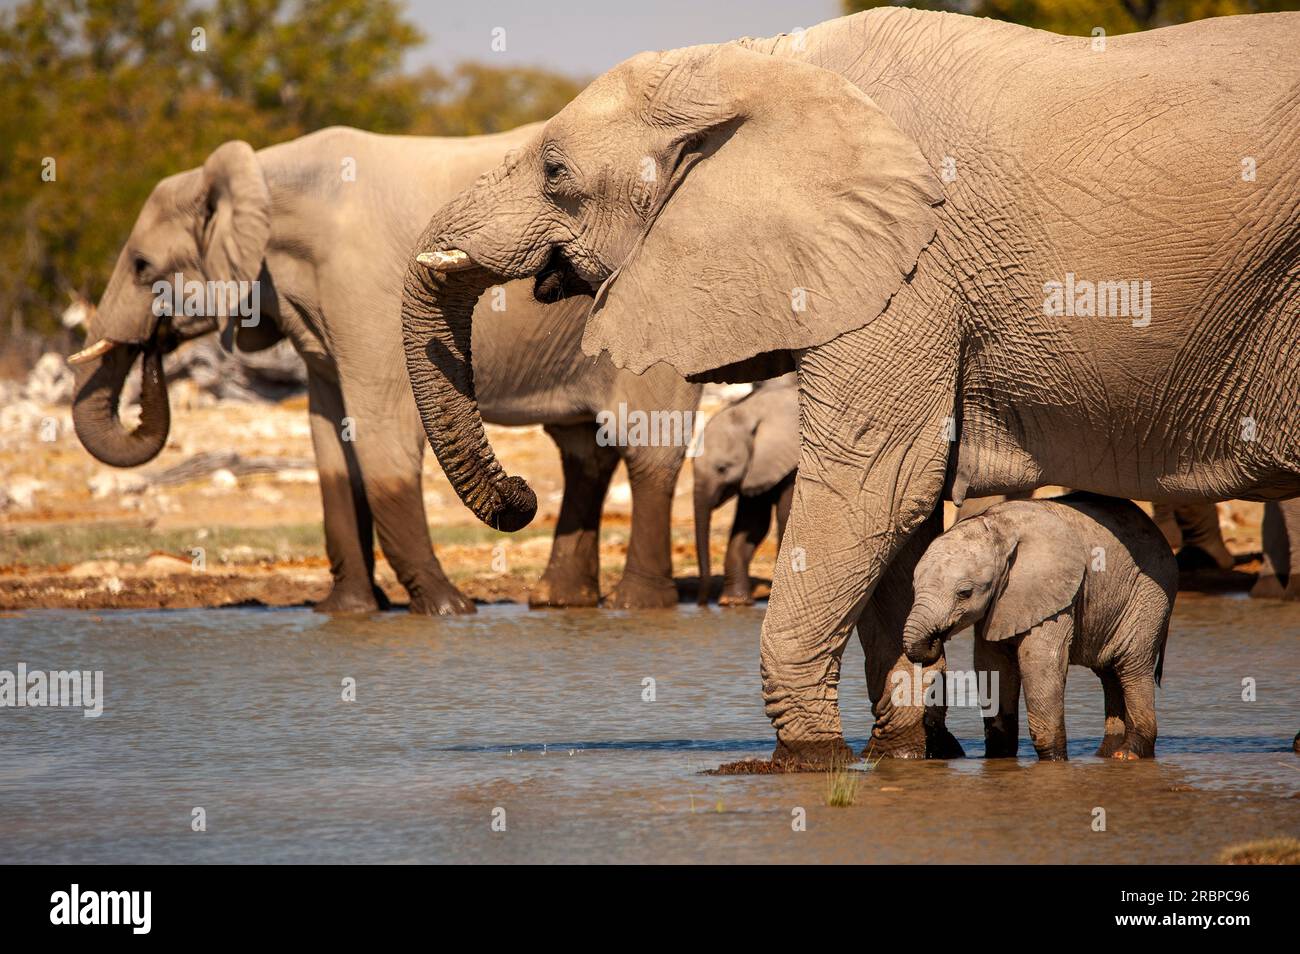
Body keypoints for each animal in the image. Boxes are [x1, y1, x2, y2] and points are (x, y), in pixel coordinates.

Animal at [68, 125, 700, 614]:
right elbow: (330, 441)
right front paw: (345, 611)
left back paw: (637, 606)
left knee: (647, 448)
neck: (267, 176)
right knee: (584, 450)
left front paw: (447, 610)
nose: (155, 346)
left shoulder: (361, 293)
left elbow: (382, 436)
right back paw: (559, 602)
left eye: (142, 266)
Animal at [693, 374, 798, 605]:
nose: (701, 604)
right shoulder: (757, 468)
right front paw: (734, 602)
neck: (752, 408)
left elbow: (785, 516)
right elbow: (753, 524)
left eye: (722, 468)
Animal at [902, 494, 1177, 760]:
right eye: (913, 587)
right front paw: (998, 757)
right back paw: (1107, 754)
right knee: (1110, 673)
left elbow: (1039, 661)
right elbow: (992, 665)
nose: (937, 639)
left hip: (1149, 593)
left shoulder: (1053, 595)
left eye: (964, 593)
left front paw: (1053, 760)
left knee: (1131, 666)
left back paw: (1129, 754)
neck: (998, 528)